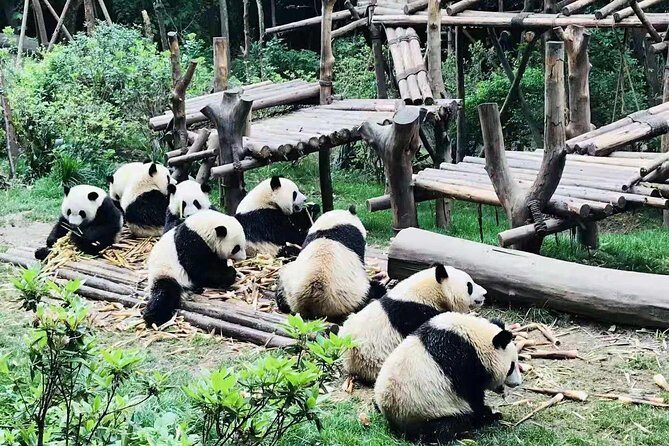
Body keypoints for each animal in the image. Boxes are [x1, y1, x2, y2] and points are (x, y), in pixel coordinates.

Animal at [374, 313, 522, 443]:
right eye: (511, 367)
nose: (518, 383)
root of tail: (392, 417)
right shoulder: (464, 362)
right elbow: (473, 397)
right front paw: (489, 414)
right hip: (428, 411)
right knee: (446, 426)